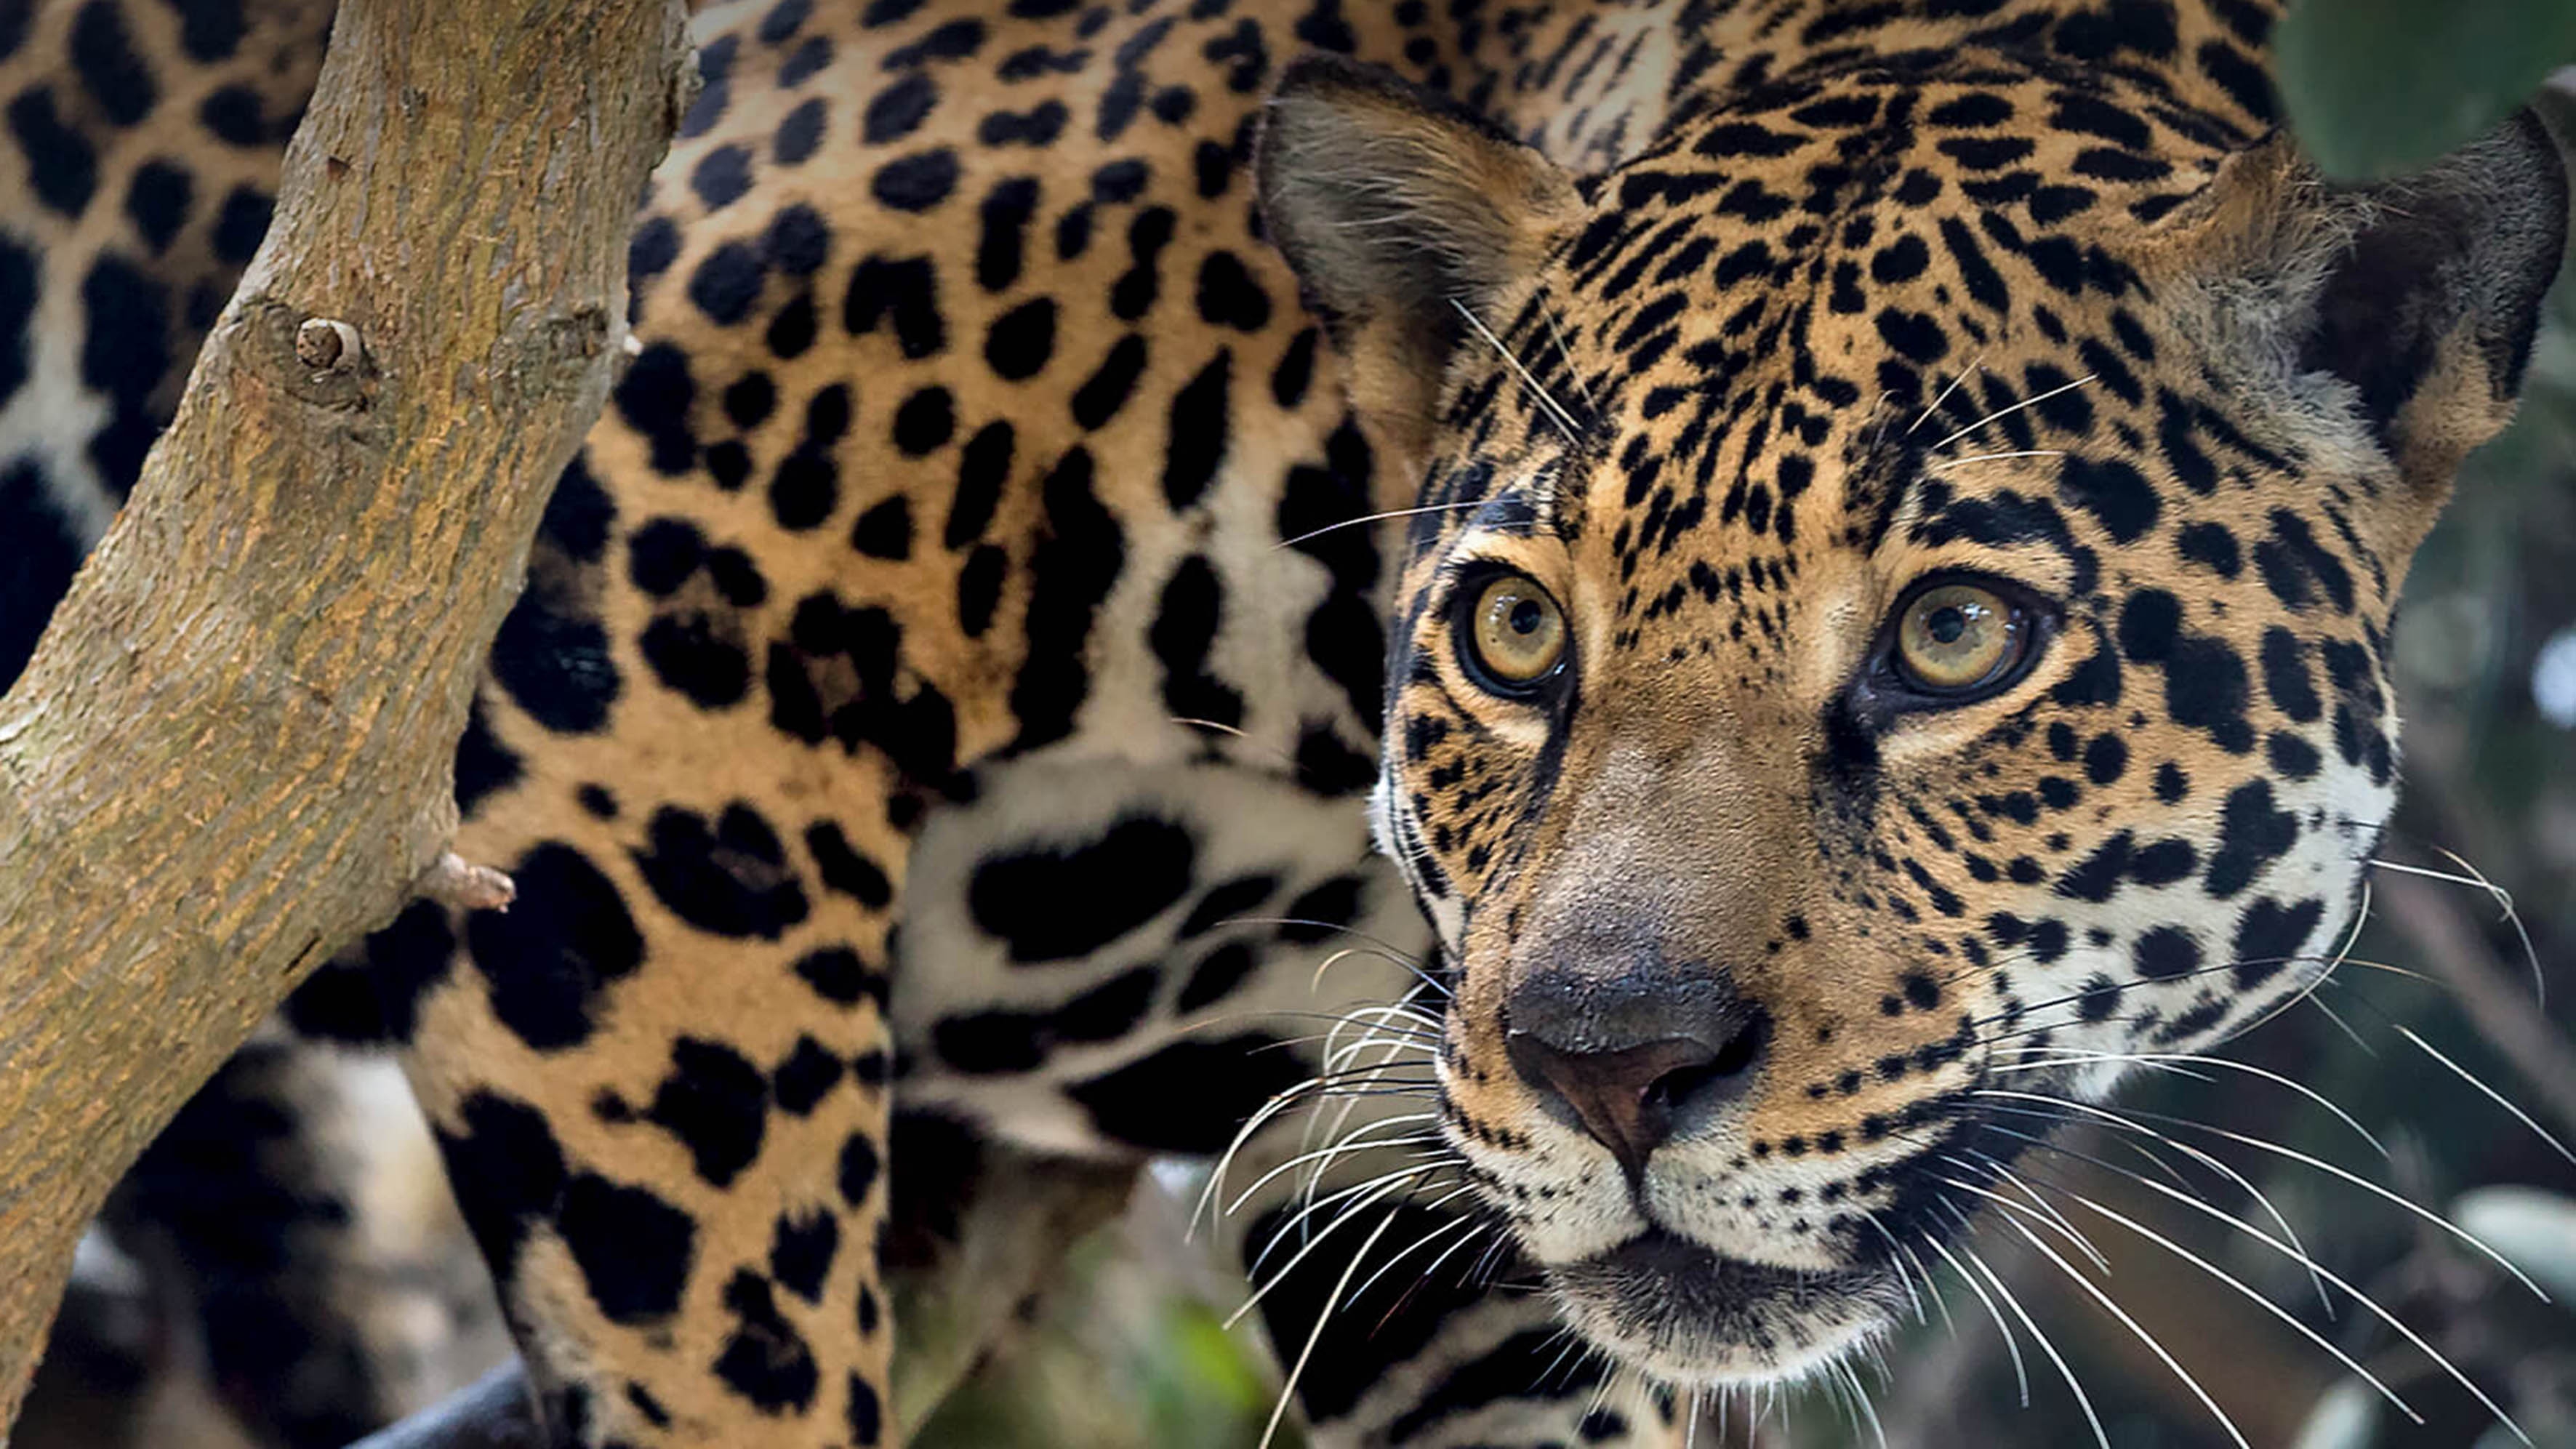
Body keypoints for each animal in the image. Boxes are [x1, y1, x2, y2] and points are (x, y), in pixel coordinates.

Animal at [2, 0, 2566, 1445]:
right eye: (1516, 633)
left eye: (1949, 639)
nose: (1610, 1066)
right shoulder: (600, 582)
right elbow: (732, 1350)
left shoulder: (1412, 1188)